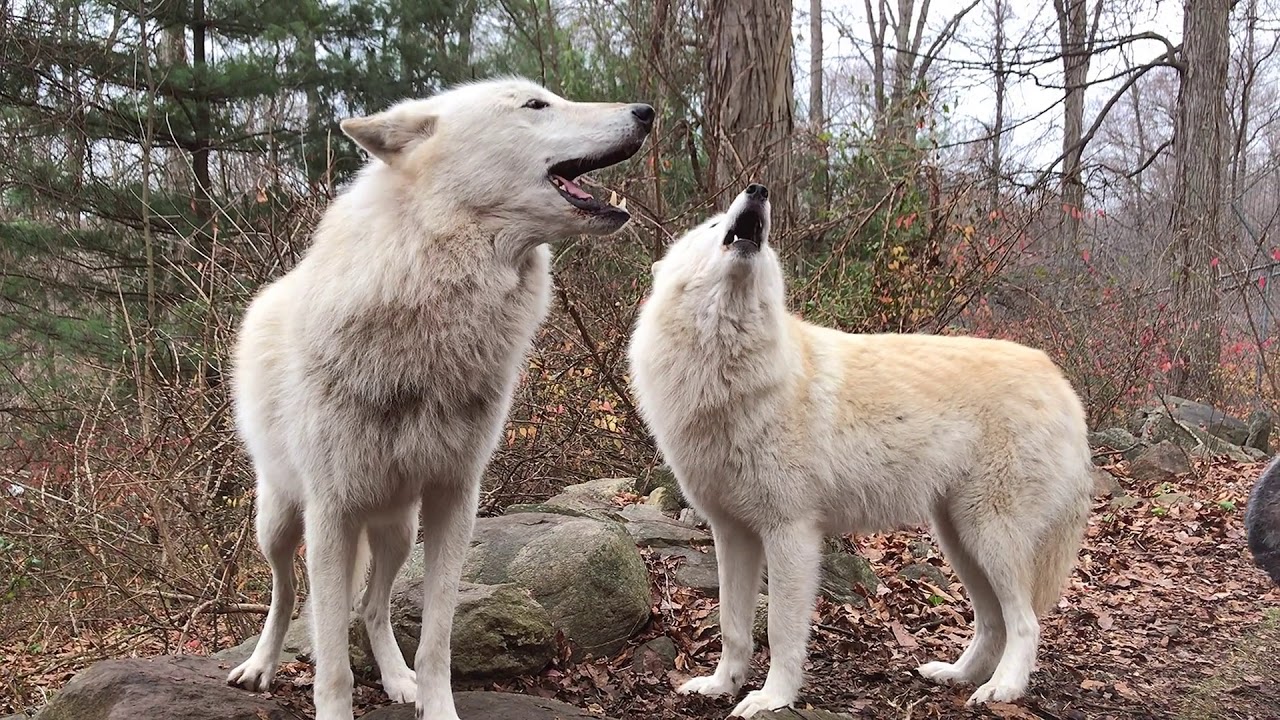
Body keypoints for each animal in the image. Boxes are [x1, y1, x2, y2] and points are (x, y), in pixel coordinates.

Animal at [226, 78, 653, 720]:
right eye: (534, 104)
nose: (647, 111)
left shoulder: (455, 497)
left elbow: (437, 638)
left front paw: (431, 699)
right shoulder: (331, 512)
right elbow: (331, 662)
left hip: (398, 529)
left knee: (372, 607)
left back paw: (396, 679)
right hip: (279, 522)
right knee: (286, 593)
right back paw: (259, 667)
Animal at [628, 184, 1094, 717]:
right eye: (710, 226)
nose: (759, 191)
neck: (727, 374)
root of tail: (1060, 380)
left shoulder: (791, 533)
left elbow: (781, 632)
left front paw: (771, 699)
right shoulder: (732, 534)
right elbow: (733, 626)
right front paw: (721, 685)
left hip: (989, 535)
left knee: (1025, 622)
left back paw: (1003, 688)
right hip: (959, 540)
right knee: (992, 622)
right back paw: (956, 675)